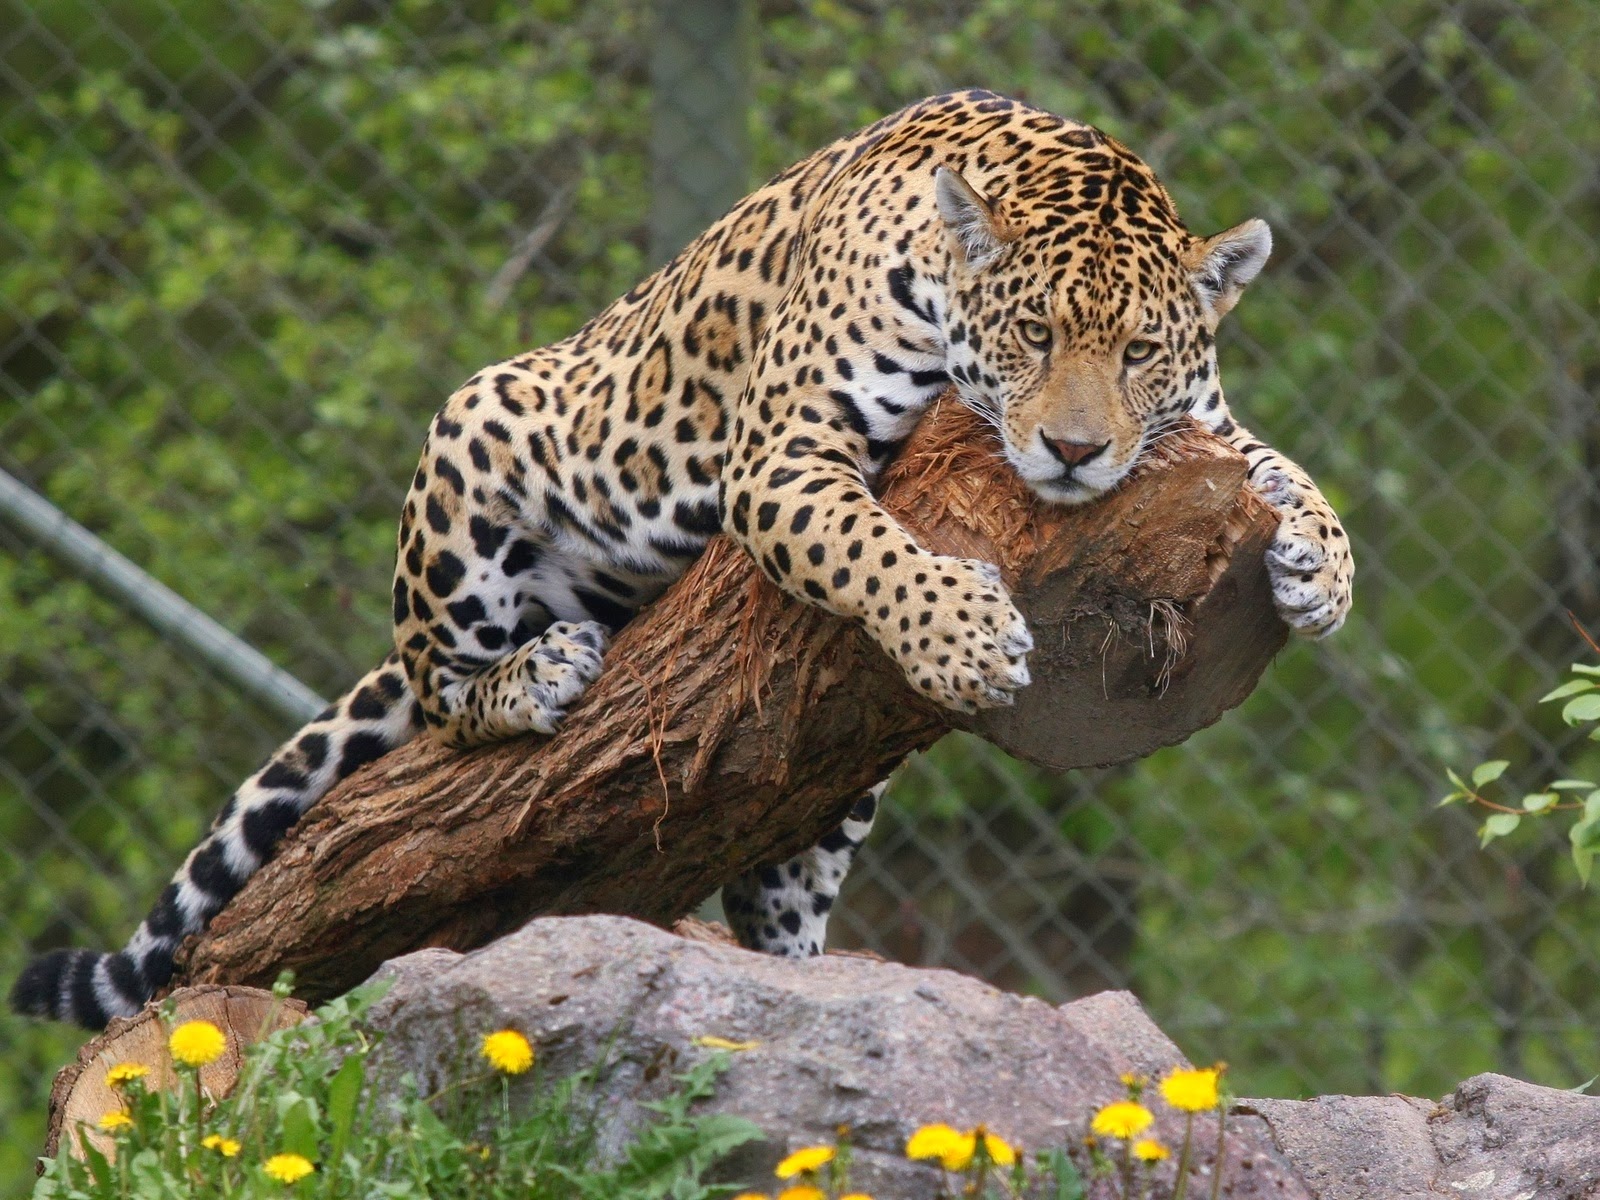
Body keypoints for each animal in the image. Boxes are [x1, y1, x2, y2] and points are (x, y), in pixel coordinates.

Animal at [12, 90, 1352, 1029]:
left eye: (1137, 353)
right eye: (1030, 333)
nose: (1073, 452)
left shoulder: (1203, 426)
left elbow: (1288, 471)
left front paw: (1323, 575)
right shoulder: (783, 454)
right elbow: (869, 544)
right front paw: (964, 633)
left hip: (825, 794)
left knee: (776, 897)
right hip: (476, 432)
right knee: (443, 697)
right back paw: (537, 672)